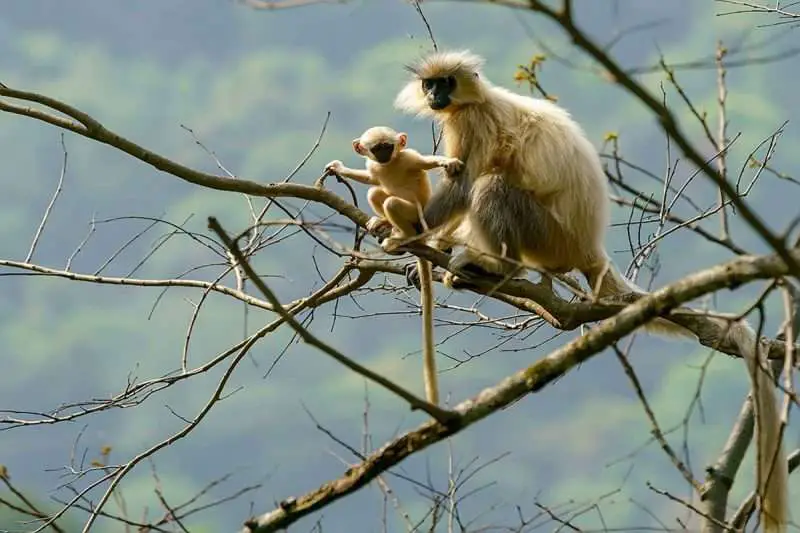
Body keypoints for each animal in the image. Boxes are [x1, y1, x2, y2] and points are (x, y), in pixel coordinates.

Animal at [325, 126, 463, 407]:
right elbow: (370, 179)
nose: (384, 155)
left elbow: (426, 162)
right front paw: (338, 168)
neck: (390, 165)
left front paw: (448, 162)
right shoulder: (374, 167)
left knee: (391, 203)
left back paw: (402, 237)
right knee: (376, 193)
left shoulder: (409, 157)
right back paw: (384, 225)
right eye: (376, 149)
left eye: (388, 146)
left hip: (418, 218)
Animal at [395, 50, 788, 532]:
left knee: (490, 185)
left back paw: (492, 265)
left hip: (549, 237)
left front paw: (403, 233)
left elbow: (462, 184)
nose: (436, 95)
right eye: (430, 84)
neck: (478, 99)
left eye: (445, 83)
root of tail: (590, 248)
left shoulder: (472, 122)